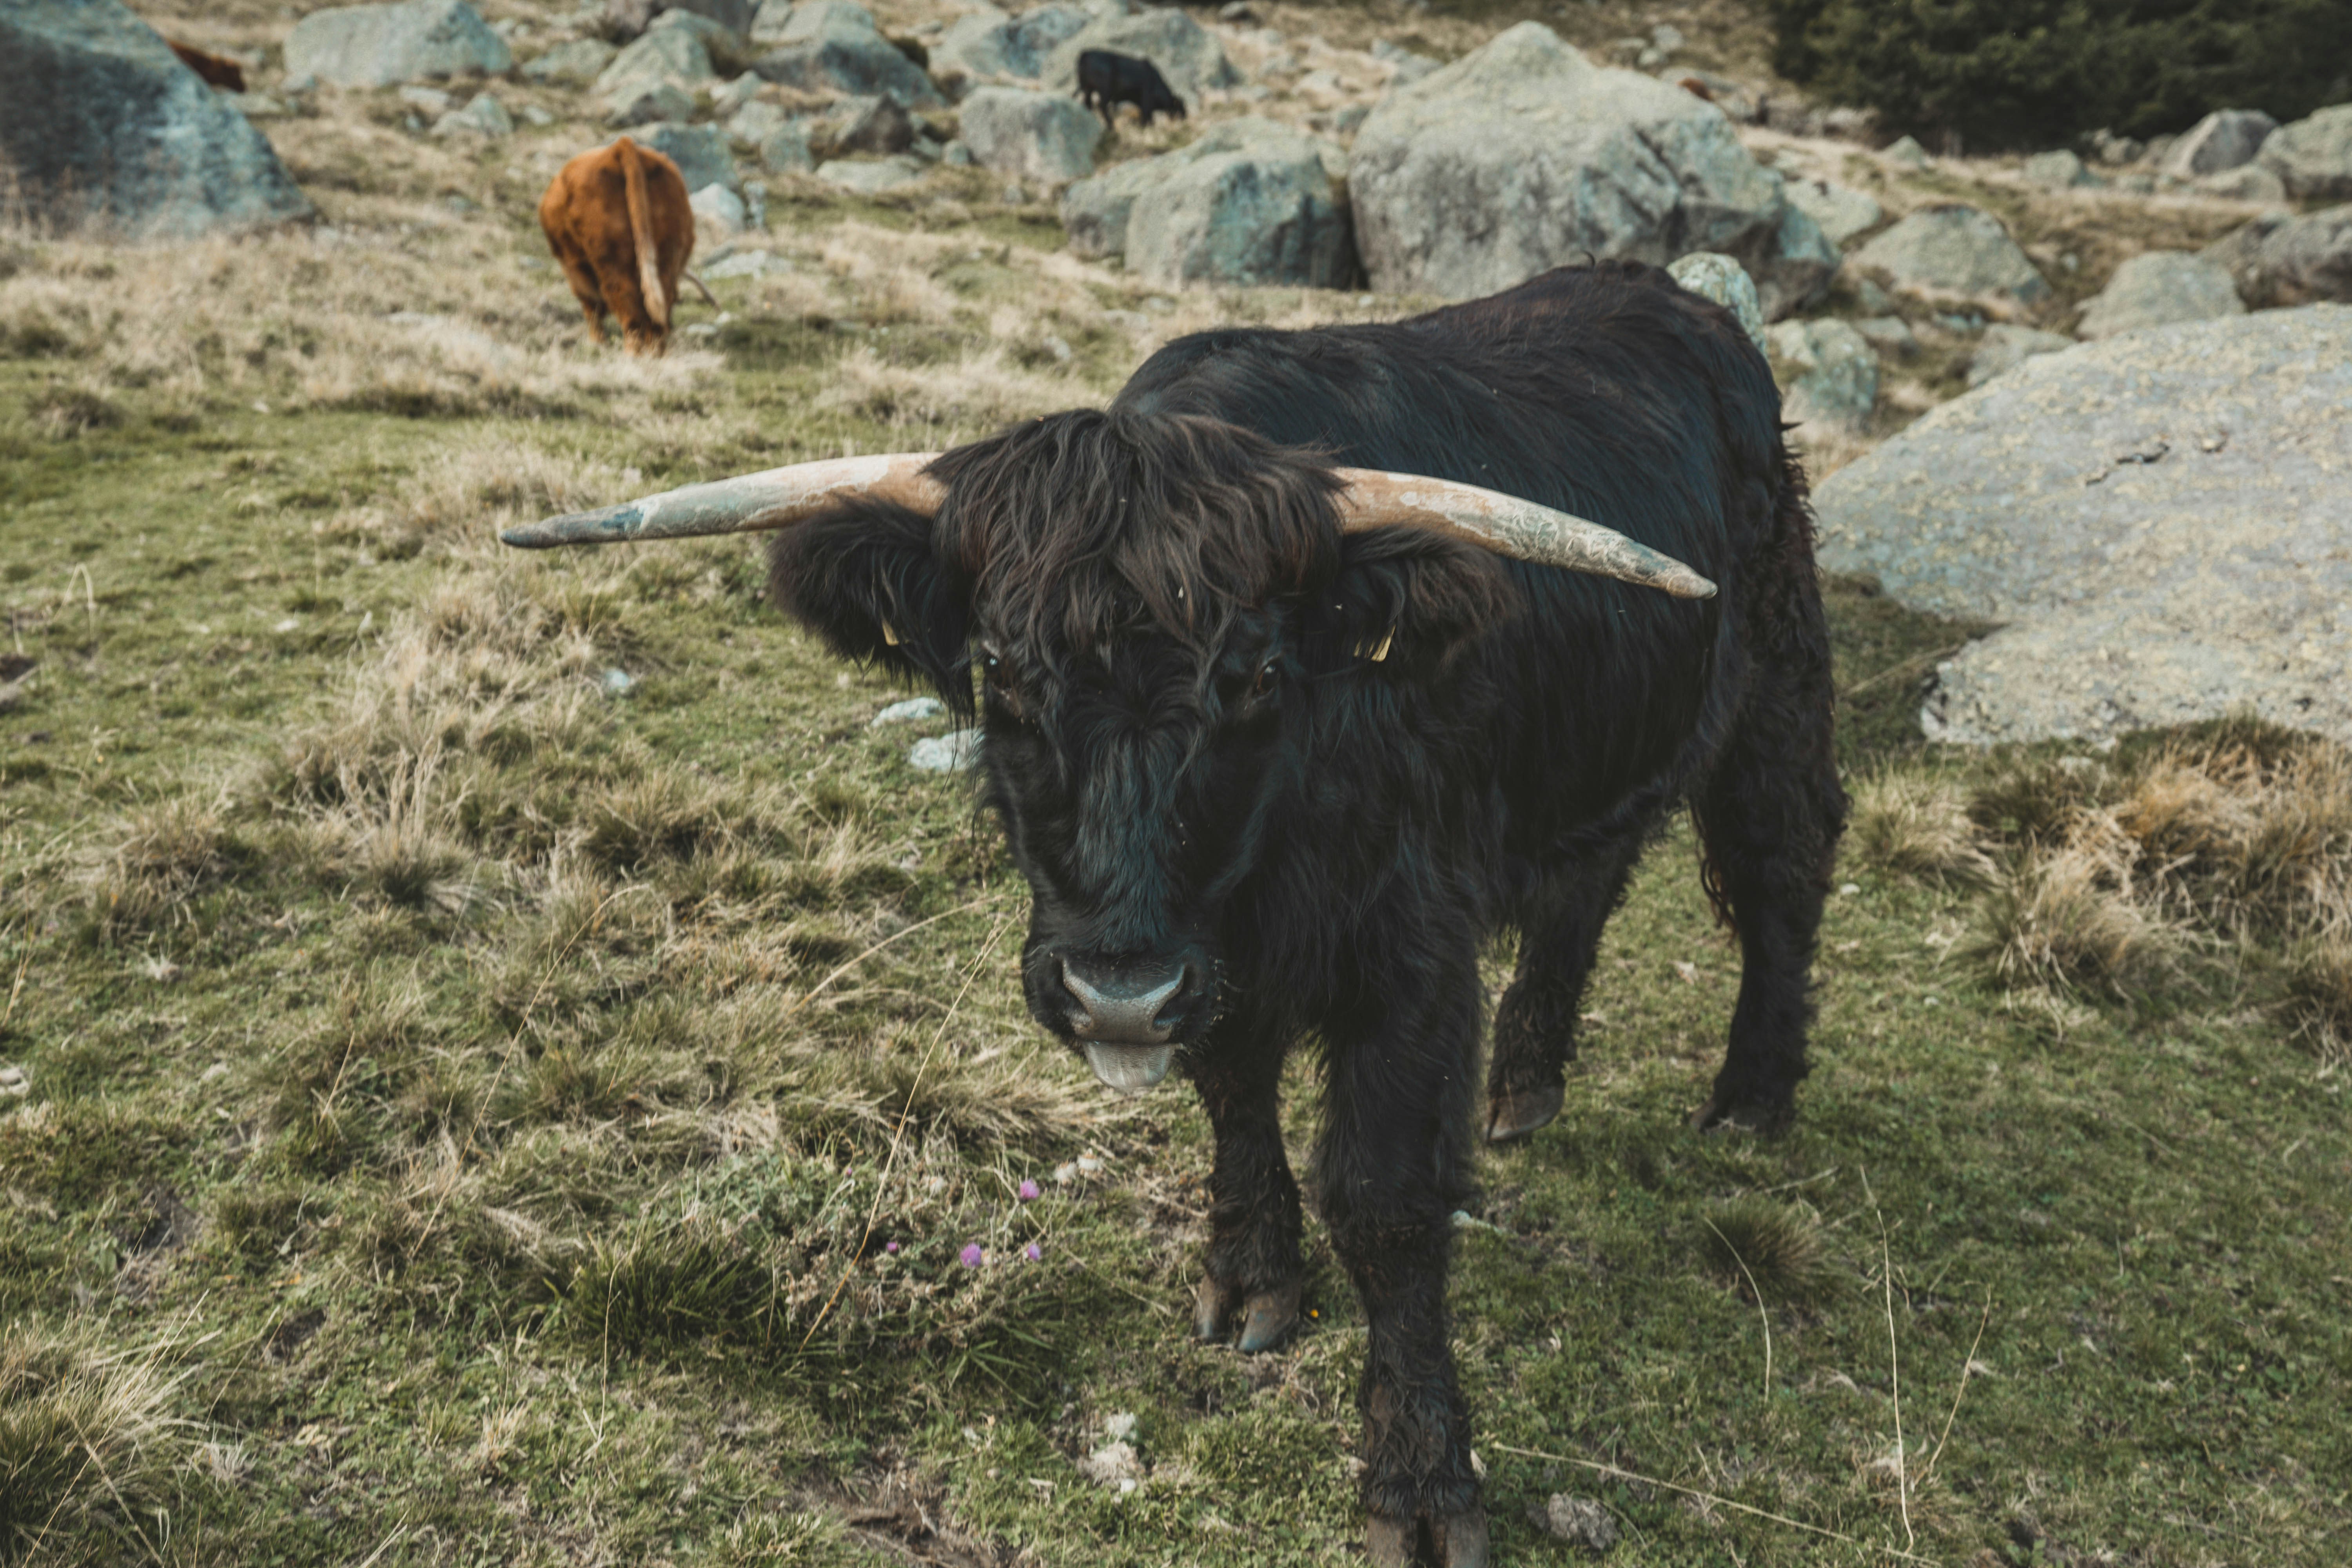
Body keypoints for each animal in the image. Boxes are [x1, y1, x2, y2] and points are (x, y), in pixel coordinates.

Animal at [501, 261, 1847, 1566]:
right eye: (1000, 669)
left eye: (1254, 674)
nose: (1114, 993)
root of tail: (1679, 301)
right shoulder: (1211, 963)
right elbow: (1233, 1095)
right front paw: (1253, 1279)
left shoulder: (1409, 950)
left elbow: (1385, 1199)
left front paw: (1419, 1481)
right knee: (1587, 884)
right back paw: (1526, 1082)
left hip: (1775, 684)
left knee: (1779, 867)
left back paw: (1751, 1098)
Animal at [537, 138, 695, 357]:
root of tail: (622, 145)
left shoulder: (574, 265)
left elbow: (592, 306)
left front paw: (597, 344)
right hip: (668, 254)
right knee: (658, 313)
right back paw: (655, 354)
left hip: (611, 261)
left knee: (628, 310)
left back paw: (631, 354)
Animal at [1075, 49, 1186, 130]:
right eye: (1180, 108)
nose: (1185, 118)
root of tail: (1086, 54)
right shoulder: (1146, 100)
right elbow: (1146, 117)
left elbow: (1149, 119)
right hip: (1105, 90)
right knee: (1102, 106)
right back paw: (1111, 126)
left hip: (1088, 89)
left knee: (1088, 104)